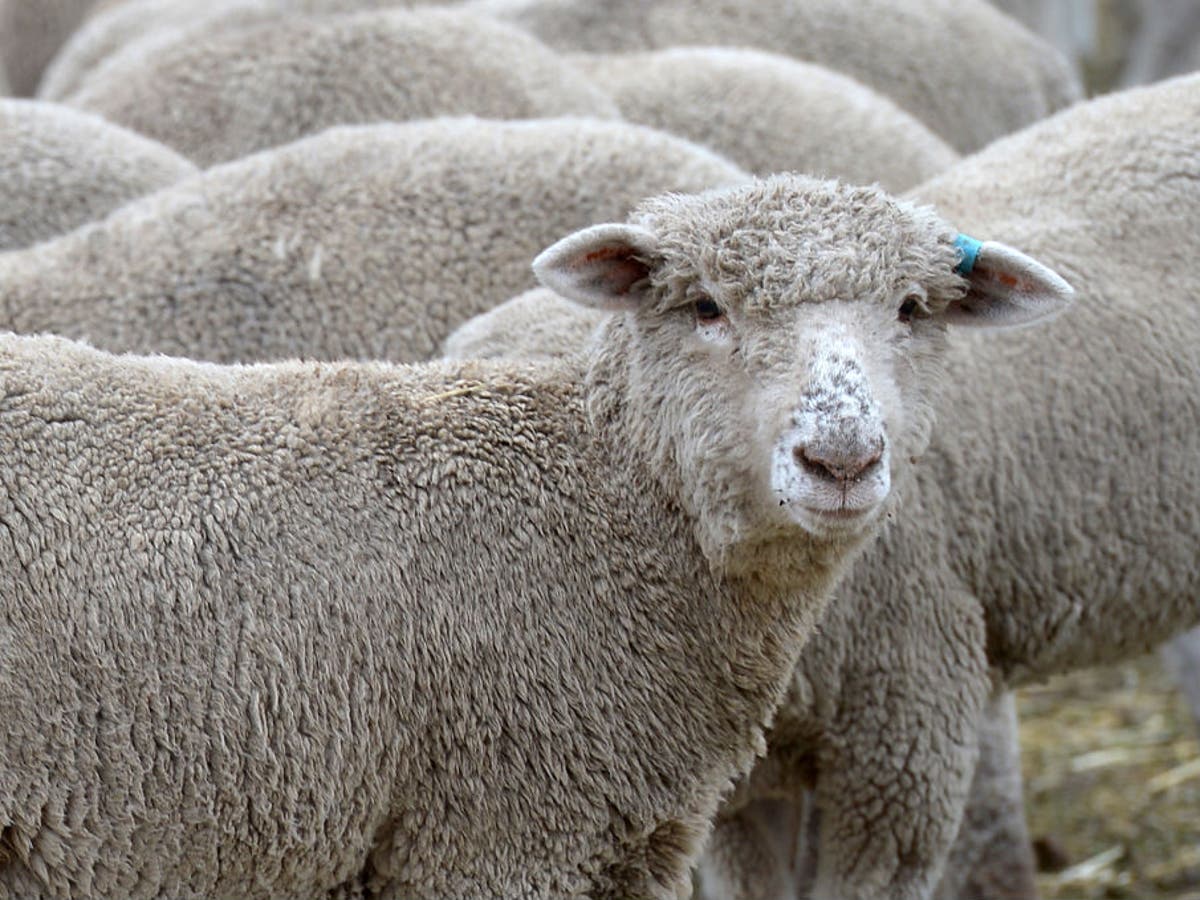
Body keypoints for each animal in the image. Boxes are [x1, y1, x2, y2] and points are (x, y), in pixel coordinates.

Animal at [0, 168, 1072, 896]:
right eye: (705, 306)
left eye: (913, 309)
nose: (841, 457)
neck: (597, 504)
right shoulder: (496, 832)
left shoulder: (626, 843)